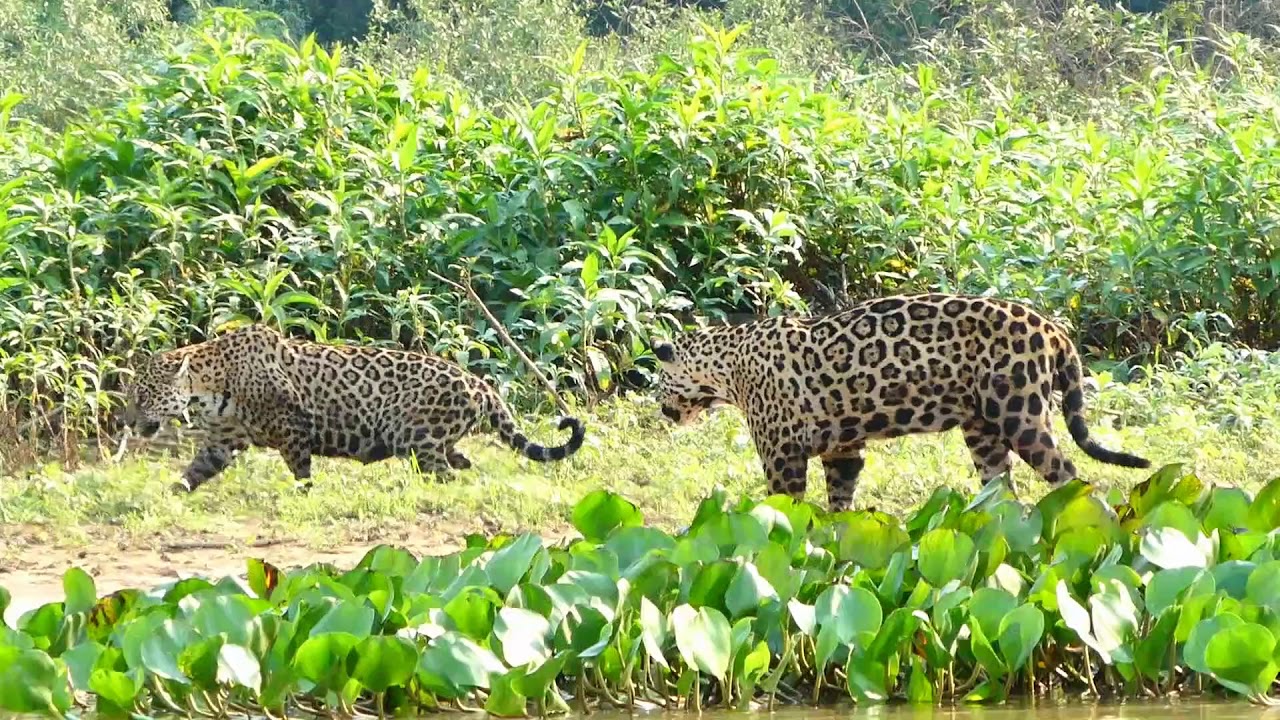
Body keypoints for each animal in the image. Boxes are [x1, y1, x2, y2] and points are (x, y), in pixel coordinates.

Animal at [122, 324, 585, 492]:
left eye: (142, 397)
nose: (126, 421)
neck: (210, 386)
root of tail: (481, 385)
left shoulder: (292, 427)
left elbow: (301, 471)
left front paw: (304, 497)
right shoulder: (221, 441)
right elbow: (194, 471)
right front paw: (170, 495)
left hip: (412, 433)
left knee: (443, 471)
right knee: (458, 458)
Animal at [651, 293, 1151, 512]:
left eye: (658, 383)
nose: (661, 409)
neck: (726, 364)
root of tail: (1051, 327)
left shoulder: (782, 455)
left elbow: (782, 507)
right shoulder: (843, 451)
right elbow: (839, 503)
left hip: (1021, 415)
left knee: (1070, 475)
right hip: (982, 430)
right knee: (1000, 488)